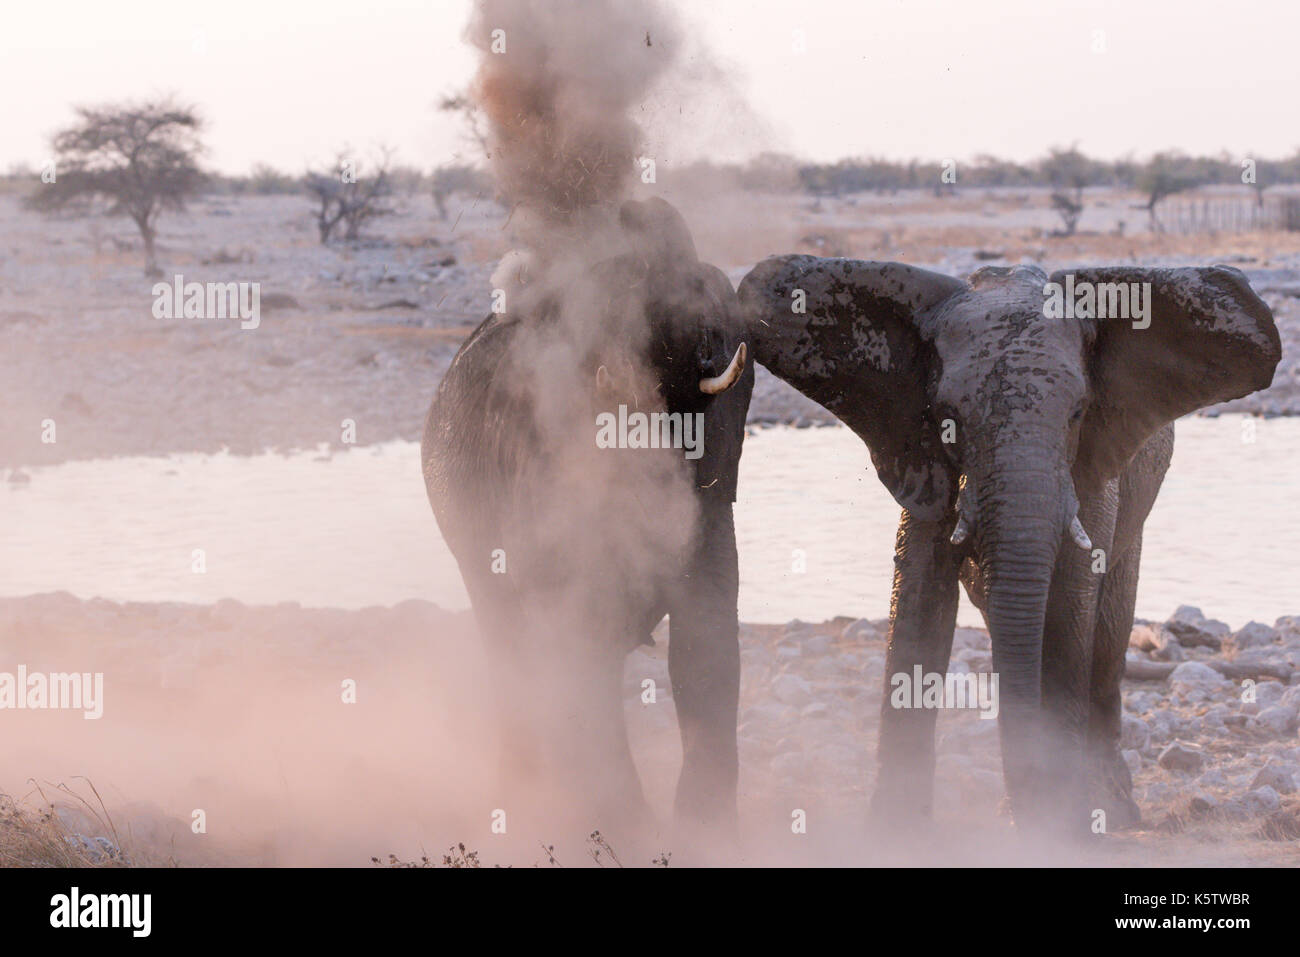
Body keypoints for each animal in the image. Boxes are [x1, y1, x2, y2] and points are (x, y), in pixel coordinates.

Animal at [422, 198, 753, 837]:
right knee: (511, 639)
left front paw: (706, 831)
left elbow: (705, 633)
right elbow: (583, 633)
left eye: (705, 297)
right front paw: (624, 824)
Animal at [738, 256, 1280, 833]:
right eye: (948, 415)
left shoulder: (1093, 473)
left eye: (1078, 412)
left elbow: (1069, 606)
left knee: (1110, 628)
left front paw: (1064, 828)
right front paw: (896, 834)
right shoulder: (924, 460)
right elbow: (918, 599)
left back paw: (1114, 808)